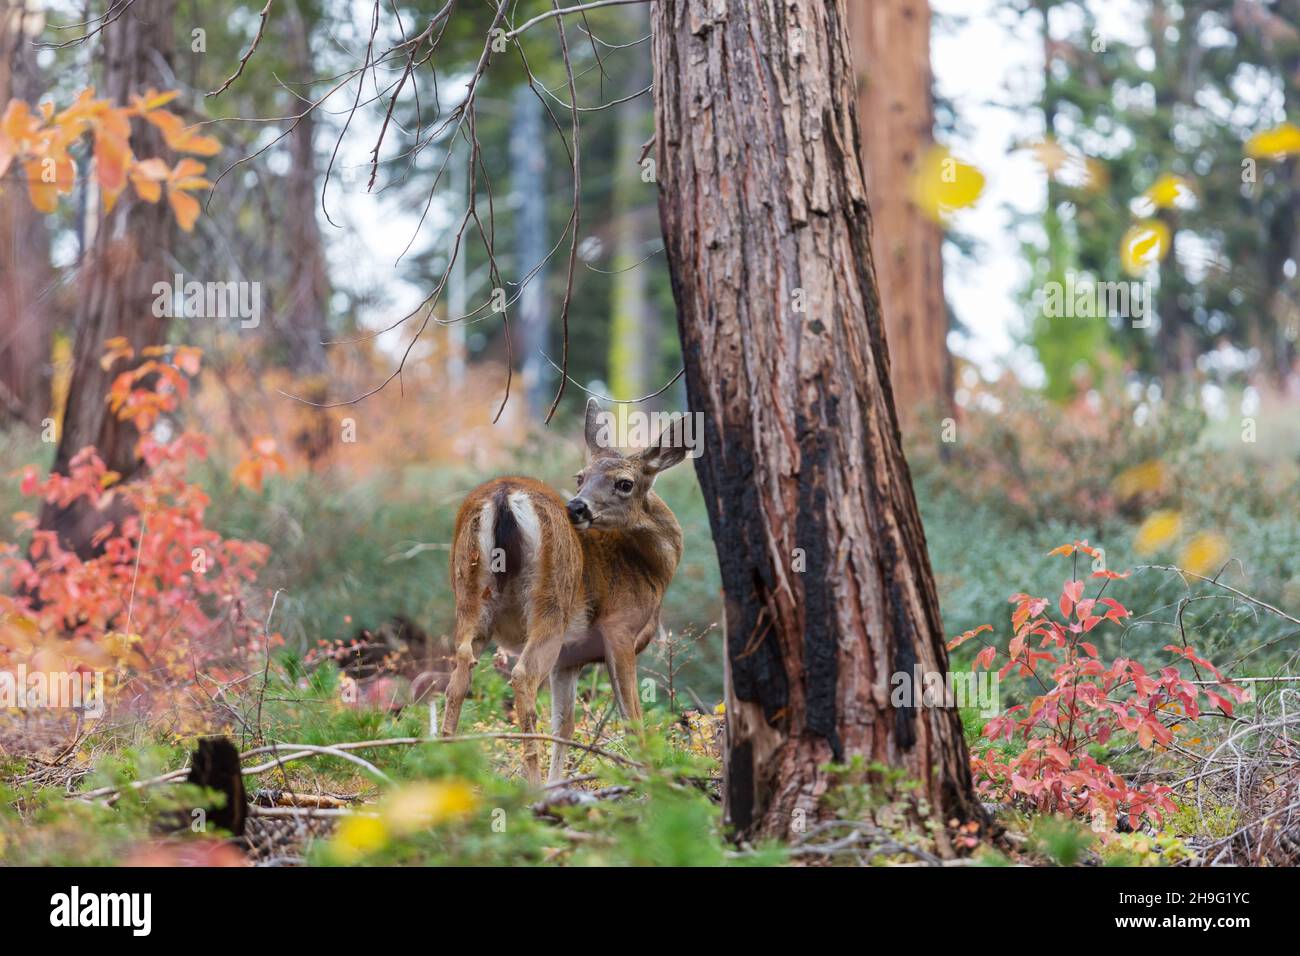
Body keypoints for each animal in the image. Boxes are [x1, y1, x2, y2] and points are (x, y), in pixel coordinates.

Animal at [441, 399, 689, 784]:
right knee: (523, 676)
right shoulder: (619, 628)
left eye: (624, 483)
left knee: (459, 671)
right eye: (581, 477)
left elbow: (565, 725)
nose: (576, 506)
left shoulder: (569, 658)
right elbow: (632, 719)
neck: (650, 570)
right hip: (551, 601)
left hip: (470, 598)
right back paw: (529, 781)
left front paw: (558, 785)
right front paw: (648, 781)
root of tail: (504, 494)